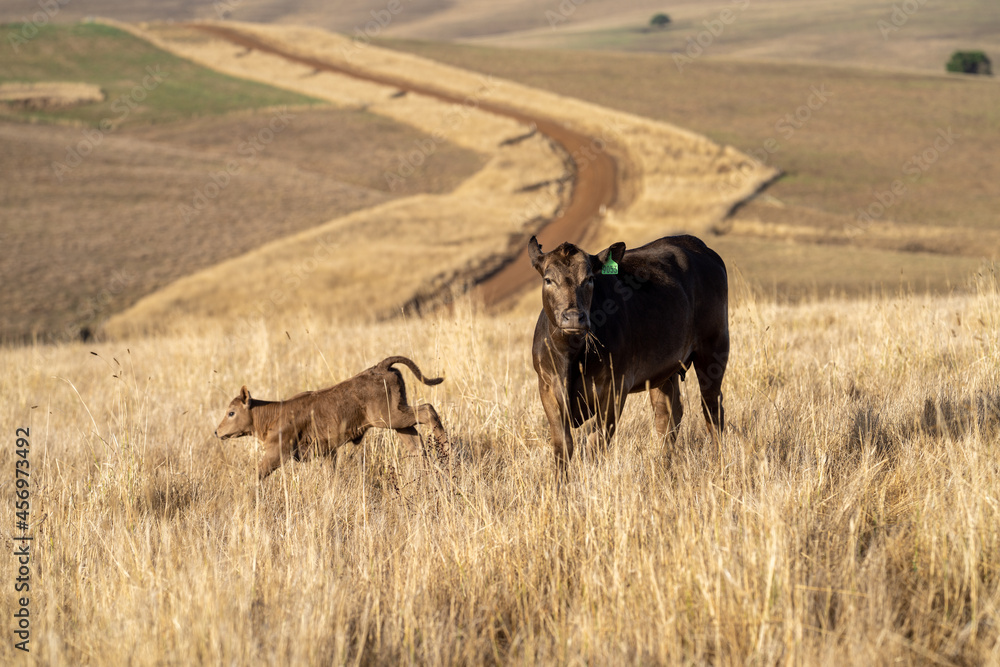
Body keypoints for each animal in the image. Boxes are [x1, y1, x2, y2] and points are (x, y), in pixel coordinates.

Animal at [214, 356, 449, 480]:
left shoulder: (276, 453)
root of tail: (379, 366)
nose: (217, 431)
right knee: (416, 443)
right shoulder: (327, 451)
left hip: (391, 417)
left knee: (428, 411)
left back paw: (445, 449)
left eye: (231, 412)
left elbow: (259, 472)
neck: (270, 413)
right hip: (397, 420)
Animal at [528, 234, 729, 476]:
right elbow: (563, 444)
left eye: (589, 279)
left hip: (714, 348)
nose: (574, 317)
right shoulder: (547, 387)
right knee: (668, 415)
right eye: (548, 280)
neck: (570, 357)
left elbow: (595, 443)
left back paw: (718, 464)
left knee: (712, 409)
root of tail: (693, 243)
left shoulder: (614, 387)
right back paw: (663, 466)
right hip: (664, 370)